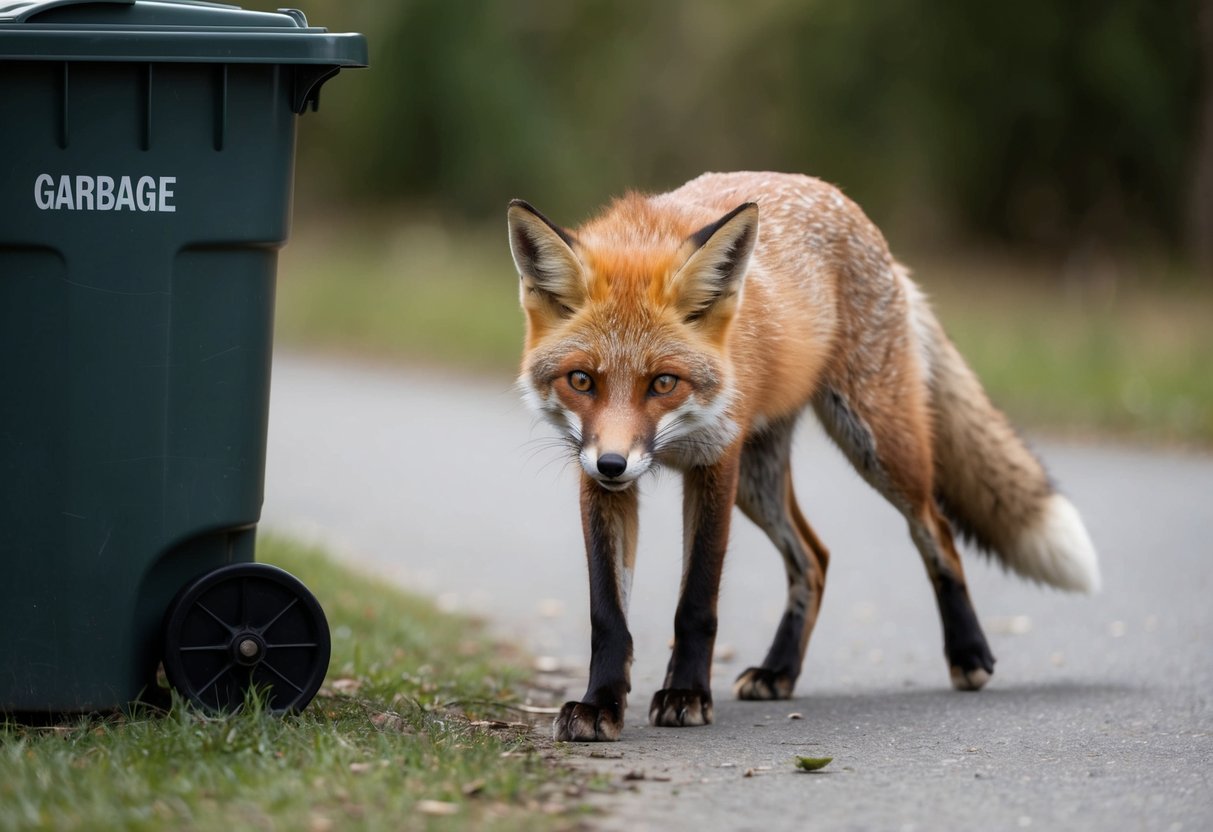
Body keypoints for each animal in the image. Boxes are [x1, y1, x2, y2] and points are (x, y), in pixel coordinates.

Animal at [507, 171, 1101, 742]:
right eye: (582, 380)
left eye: (663, 383)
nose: (613, 465)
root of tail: (845, 204)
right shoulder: (596, 477)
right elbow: (607, 614)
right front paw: (600, 704)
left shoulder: (715, 463)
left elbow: (696, 601)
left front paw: (687, 696)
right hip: (759, 482)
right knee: (814, 559)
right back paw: (780, 670)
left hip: (876, 445)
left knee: (937, 532)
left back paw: (969, 652)